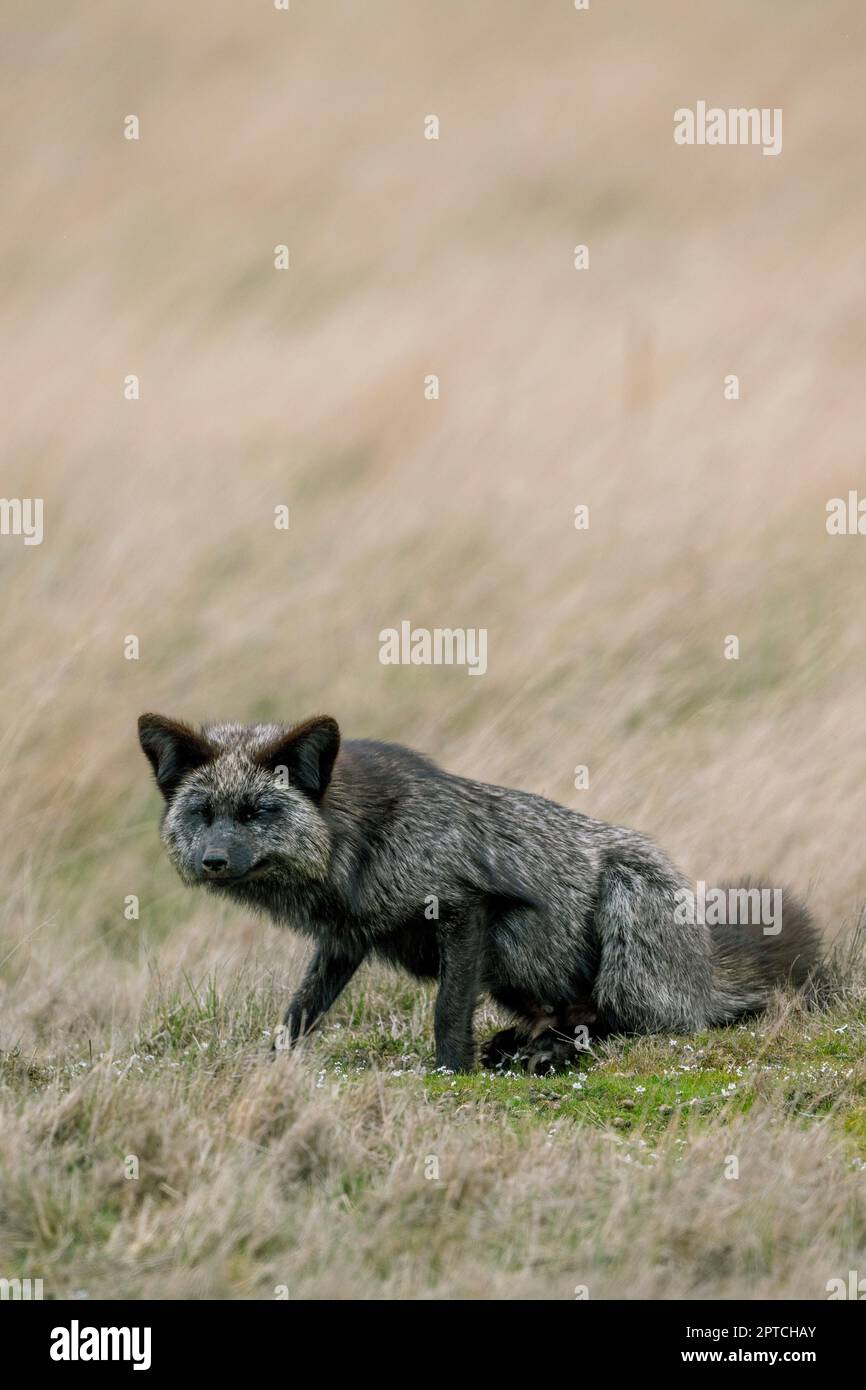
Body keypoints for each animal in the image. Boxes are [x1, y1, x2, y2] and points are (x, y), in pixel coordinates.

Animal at [138, 712, 823, 1072]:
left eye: (258, 813)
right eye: (202, 814)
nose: (213, 861)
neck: (362, 841)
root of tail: (706, 970)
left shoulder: (464, 909)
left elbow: (446, 1009)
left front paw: (450, 1073)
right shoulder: (345, 939)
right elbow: (301, 1009)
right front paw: (274, 1065)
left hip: (625, 907)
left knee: (652, 1026)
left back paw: (560, 1052)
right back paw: (530, 1045)